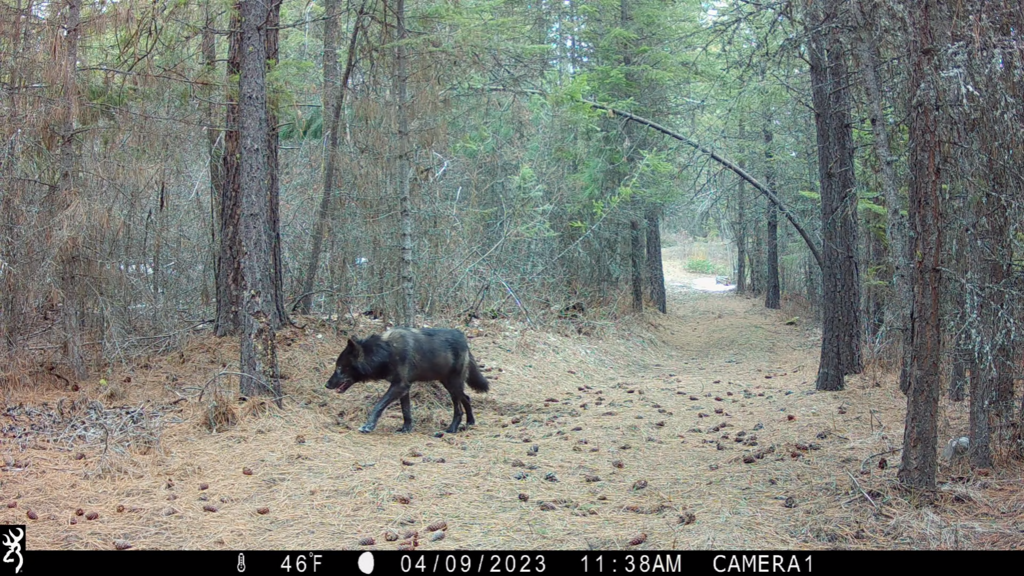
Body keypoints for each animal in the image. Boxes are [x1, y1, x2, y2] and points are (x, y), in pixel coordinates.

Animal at [326, 328, 490, 434]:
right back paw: (470, 422)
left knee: (459, 408)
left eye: (339, 367)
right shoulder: (404, 388)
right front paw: (406, 429)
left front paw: (368, 426)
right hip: (449, 384)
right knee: (467, 397)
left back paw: (452, 429)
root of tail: (464, 339)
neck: (385, 352)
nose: (326, 385)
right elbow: (406, 411)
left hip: (452, 385)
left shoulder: (399, 385)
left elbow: (378, 405)